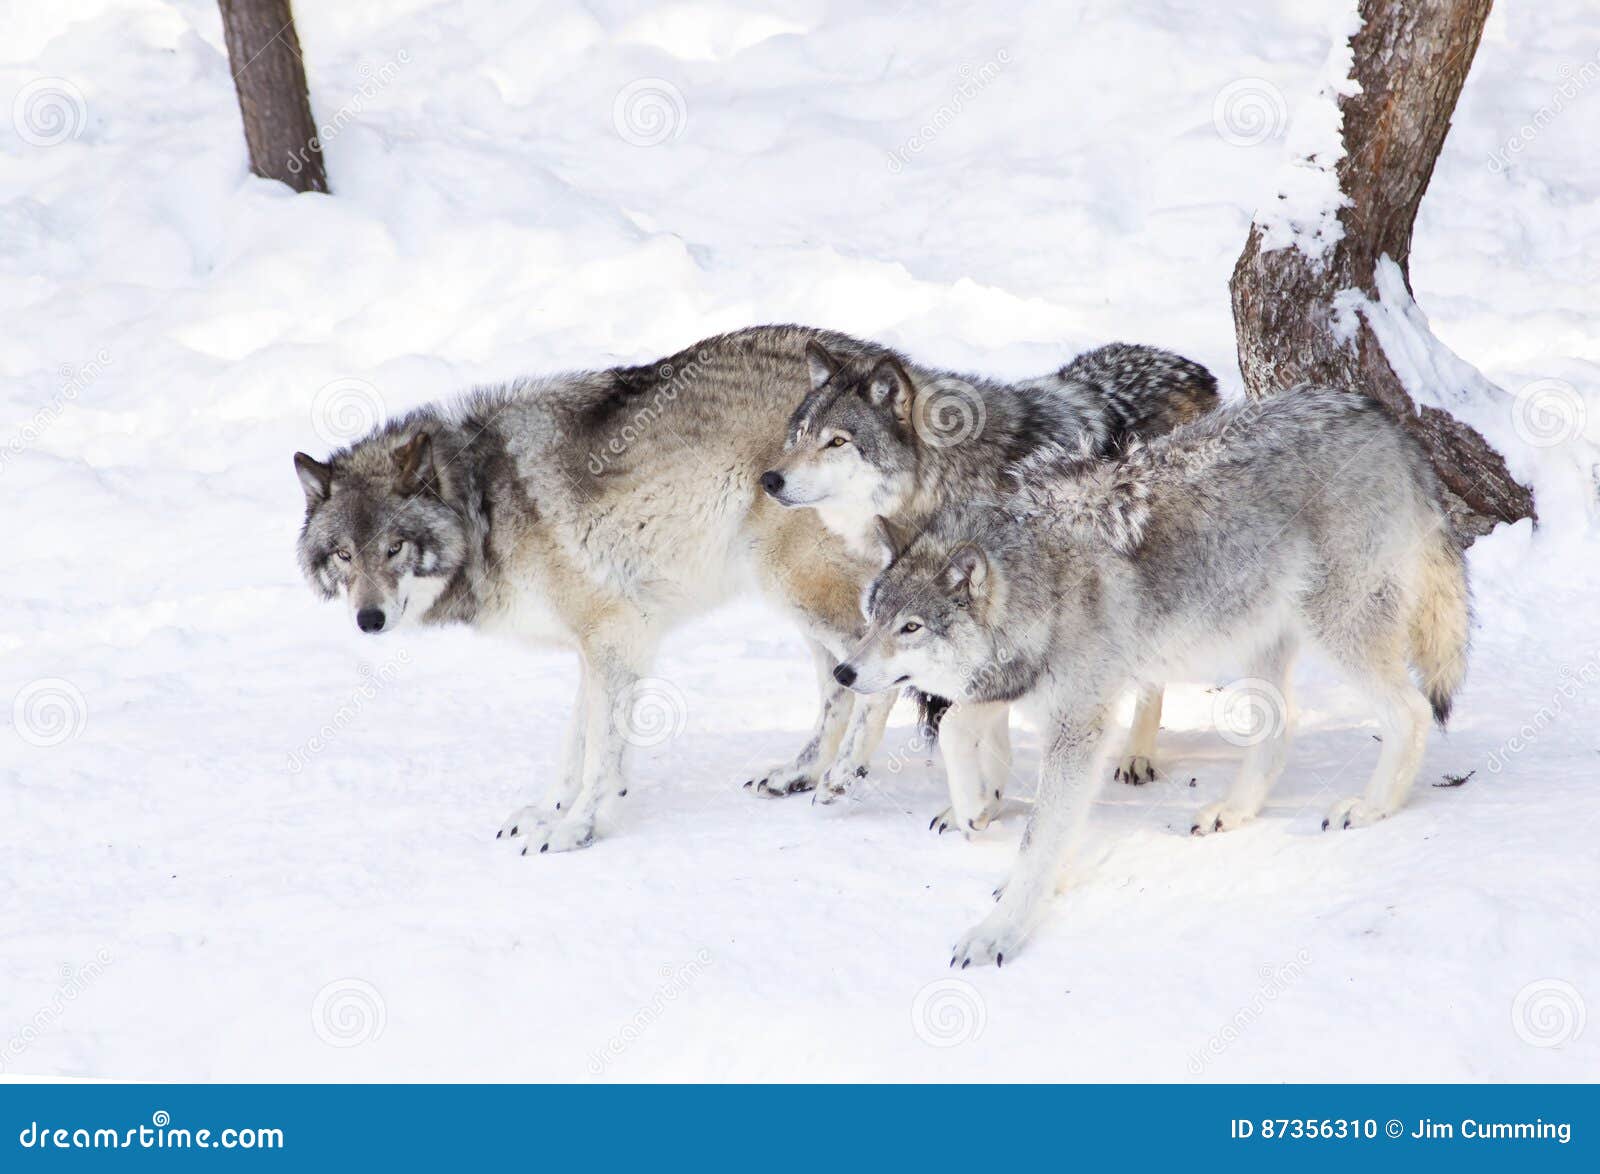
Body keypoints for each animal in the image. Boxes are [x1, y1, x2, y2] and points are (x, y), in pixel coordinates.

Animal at [760, 340, 1217, 825]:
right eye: (801, 434)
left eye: (838, 441)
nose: (769, 479)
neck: (948, 483)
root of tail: (1192, 367)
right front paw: (983, 803)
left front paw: (978, 805)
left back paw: (1138, 755)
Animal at [833, 387, 1470, 966]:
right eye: (874, 614)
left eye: (911, 628)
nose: (843, 671)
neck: (1044, 581)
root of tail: (1387, 423)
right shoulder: (1035, 691)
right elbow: (956, 728)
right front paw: (971, 810)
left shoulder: (1079, 721)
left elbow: (1038, 836)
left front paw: (999, 931)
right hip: (1258, 641)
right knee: (1281, 727)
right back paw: (1232, 812)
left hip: (1335, 630)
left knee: (1411, 711)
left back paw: (1372, 808)